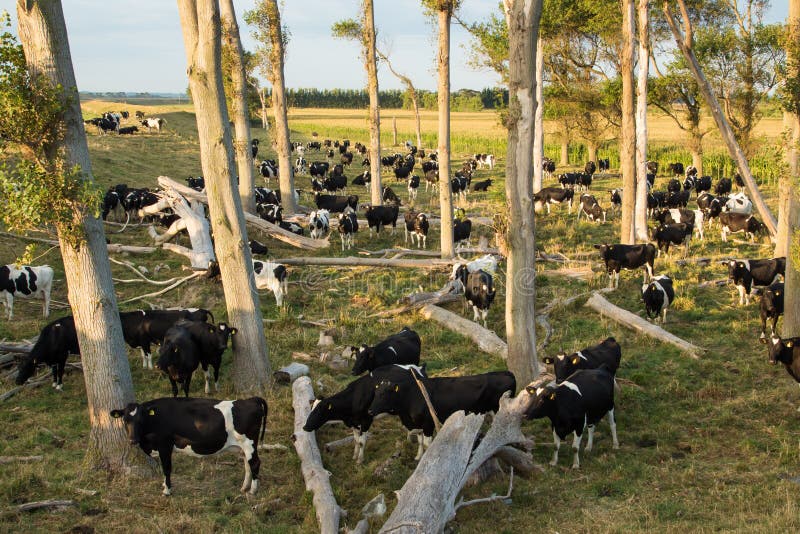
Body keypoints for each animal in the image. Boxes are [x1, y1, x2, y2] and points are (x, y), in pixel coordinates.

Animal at [110, 396, 267, 496]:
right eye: (125, 420)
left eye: (141, 420)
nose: (132, 440)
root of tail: (250, 400)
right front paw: (164, 485)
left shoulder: (165, 446)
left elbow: (166, 468)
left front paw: (167, 490)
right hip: (243, 447)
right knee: (247, 464)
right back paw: (244, 487)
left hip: (249, 443)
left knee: (255, 463)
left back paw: (253, 490)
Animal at [368, 368, 516, 459]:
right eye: (375, 393)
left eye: (383, 394)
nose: (369, 411)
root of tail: (505, 372)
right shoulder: (419, 424)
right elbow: (420, 441)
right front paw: (418, 457)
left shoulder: (428, 424)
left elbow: (427, 443)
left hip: (500, 410)